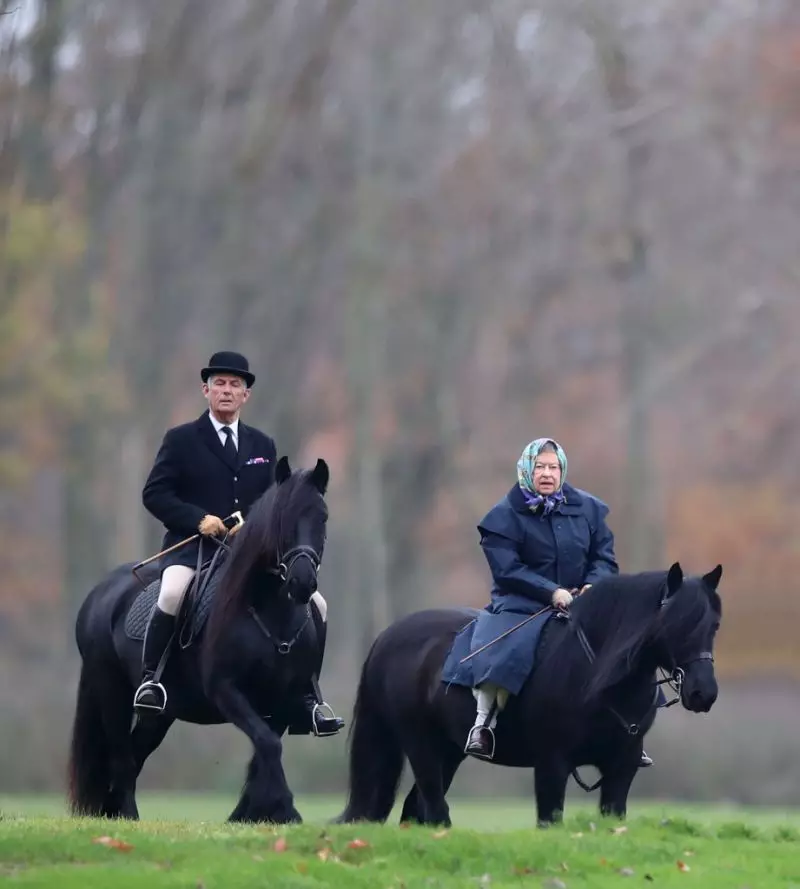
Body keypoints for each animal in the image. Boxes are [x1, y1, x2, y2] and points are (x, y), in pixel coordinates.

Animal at [65, 458, 334, 824]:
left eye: (323, 517)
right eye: (281, 517)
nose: (302, 583)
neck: (270, 612)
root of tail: (100, 592)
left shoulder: (284, 698)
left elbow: (263, 751)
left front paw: (251, 813)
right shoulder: (226, 690)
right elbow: (268, 745)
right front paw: (282, 808)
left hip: (162, 713)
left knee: (135, 753)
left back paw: (114, 811)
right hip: (111, 692)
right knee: (122, 757)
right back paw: (128, 816)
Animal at [334, 560, 720, 824]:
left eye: (714, 624)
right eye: (675, 623)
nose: (704, 693)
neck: (595, 675)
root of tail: (389, 635)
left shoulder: (621, 768)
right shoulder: (551, 764)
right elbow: (550, 819)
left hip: (449, 750)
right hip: (421, 745)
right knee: (433, 806)